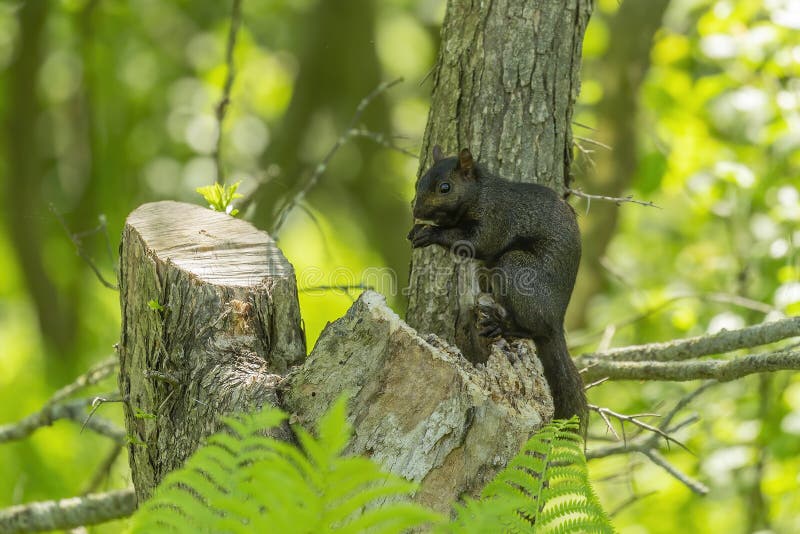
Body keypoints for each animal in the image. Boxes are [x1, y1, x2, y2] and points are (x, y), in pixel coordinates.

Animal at [408, 145, 587, 431]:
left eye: (445, 188)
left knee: (534, 328)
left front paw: (430, 234)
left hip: (515, 269)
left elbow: (476, 243)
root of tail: (557, 320)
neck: (481, 193)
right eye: (420, 182)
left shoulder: (496, 219)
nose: (417, 211)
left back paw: (502, 326)